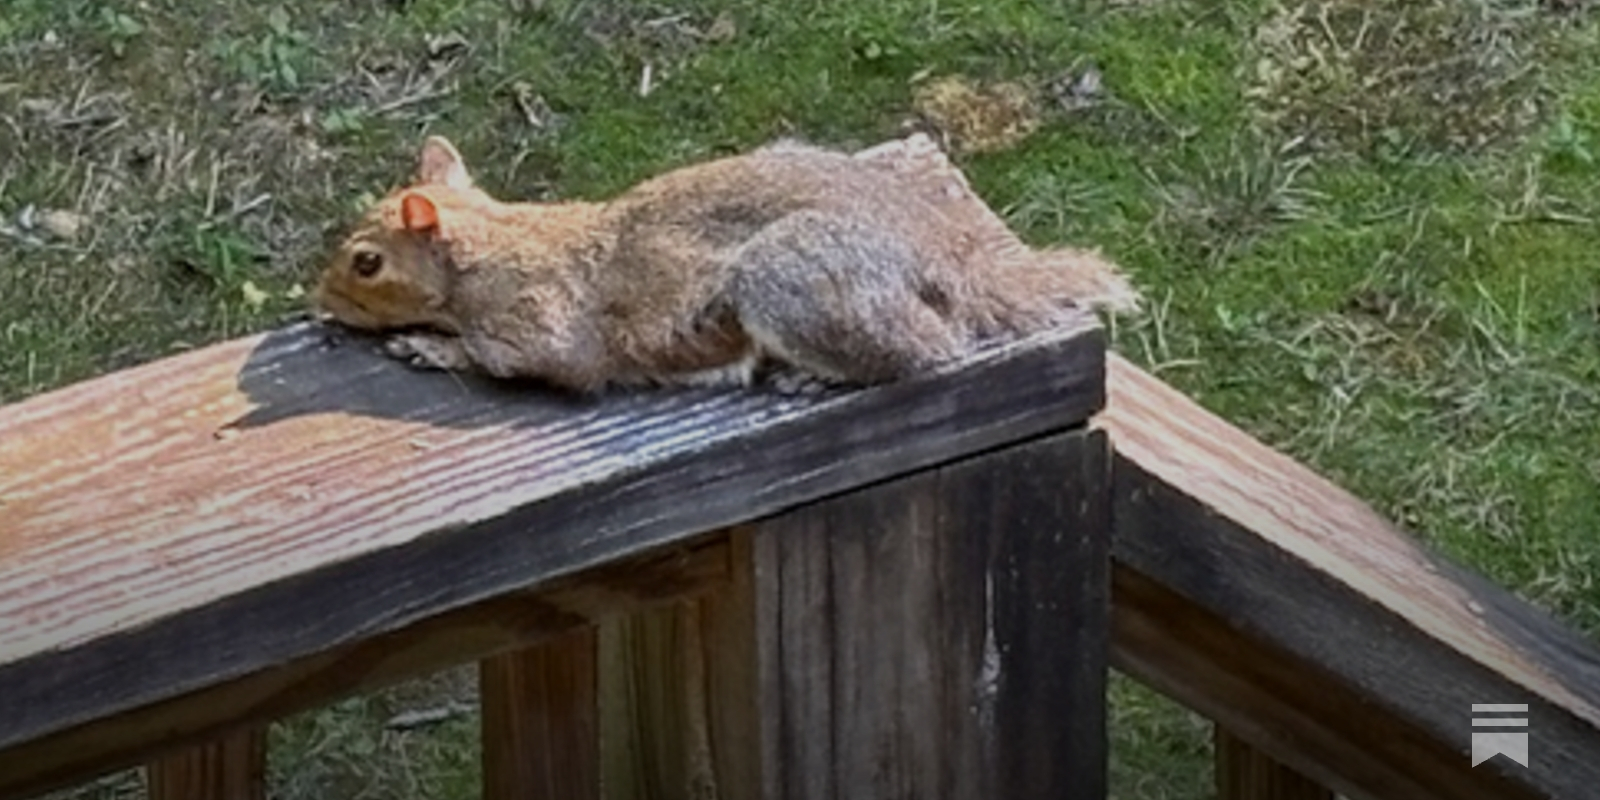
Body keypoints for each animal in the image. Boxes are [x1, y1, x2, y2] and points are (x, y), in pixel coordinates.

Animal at [311, 133, 1139, 393]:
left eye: (366, 263)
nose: (322, 300)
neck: (491, 245)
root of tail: (950, 260)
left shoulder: (540, 319)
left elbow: (534, 363)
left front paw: (429, 345)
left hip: (787, 276)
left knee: (929, 351)